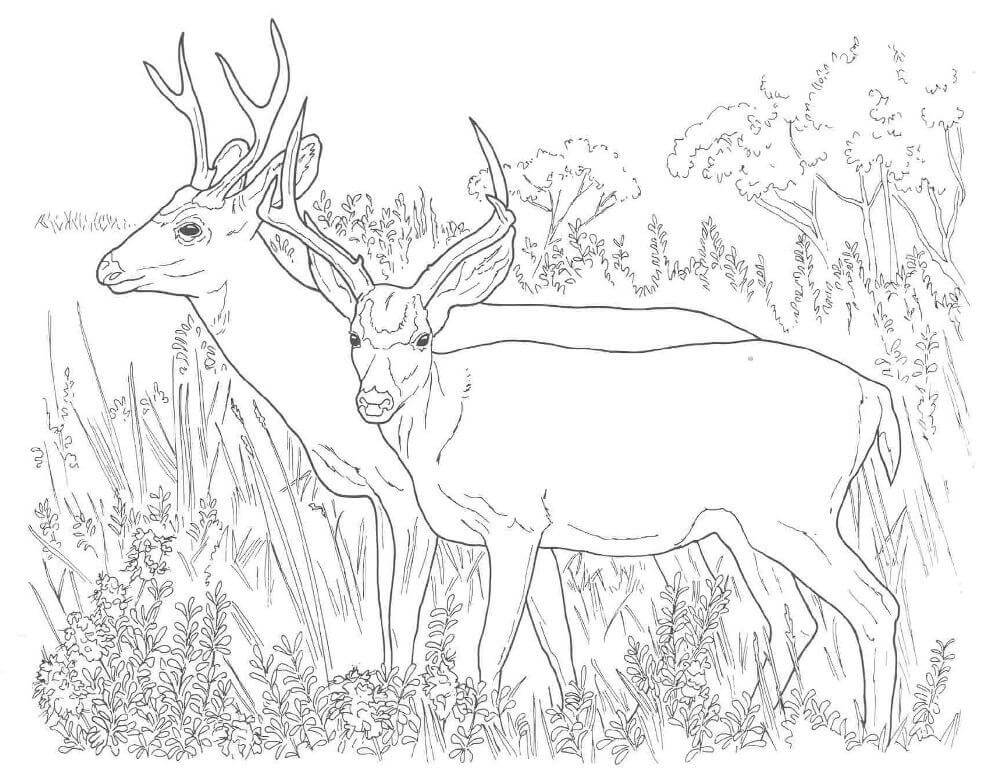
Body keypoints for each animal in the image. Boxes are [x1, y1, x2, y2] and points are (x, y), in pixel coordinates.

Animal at [94, 21, 818, 693]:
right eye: (164, 202)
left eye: (191, 226)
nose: (106, 266)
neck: (318, 385)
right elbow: (551, 635)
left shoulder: (409, 501)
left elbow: (400, 618)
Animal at [265, 104, 905, 742]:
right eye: (354, 336)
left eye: (422, 338)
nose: (372, 400)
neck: (446, 424)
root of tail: (873, 394)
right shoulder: (546, 537)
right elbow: (555, 636)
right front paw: (568, 722)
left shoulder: (513, 522)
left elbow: (489, 649)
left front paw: (477, 733)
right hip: (745, 527)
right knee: (796, 613)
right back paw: (755, 724)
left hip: (797, 516)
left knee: (875, 605)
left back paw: (873, 735)